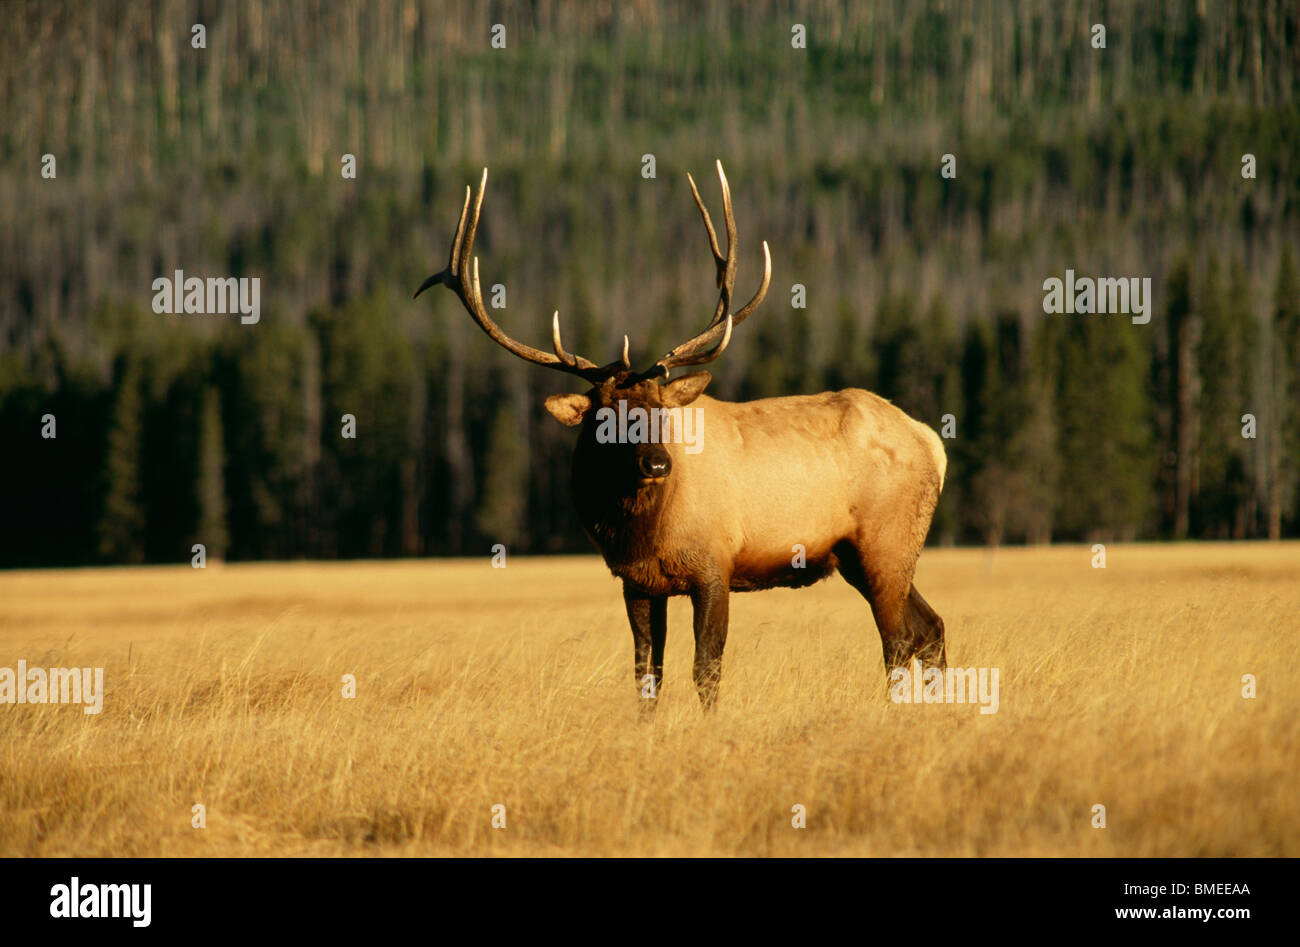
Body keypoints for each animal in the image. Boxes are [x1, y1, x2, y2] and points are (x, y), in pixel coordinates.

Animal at [415, 161, 948, 713]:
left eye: (660, 413)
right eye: (606, 415)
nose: (657, 464)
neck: (637, 533)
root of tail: (932, 441)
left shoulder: (714, 566)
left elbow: (705, 669)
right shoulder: (638, 583)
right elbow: (646, 674)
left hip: (886, 541)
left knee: (898, 640)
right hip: (859, 556)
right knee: (931, 627)